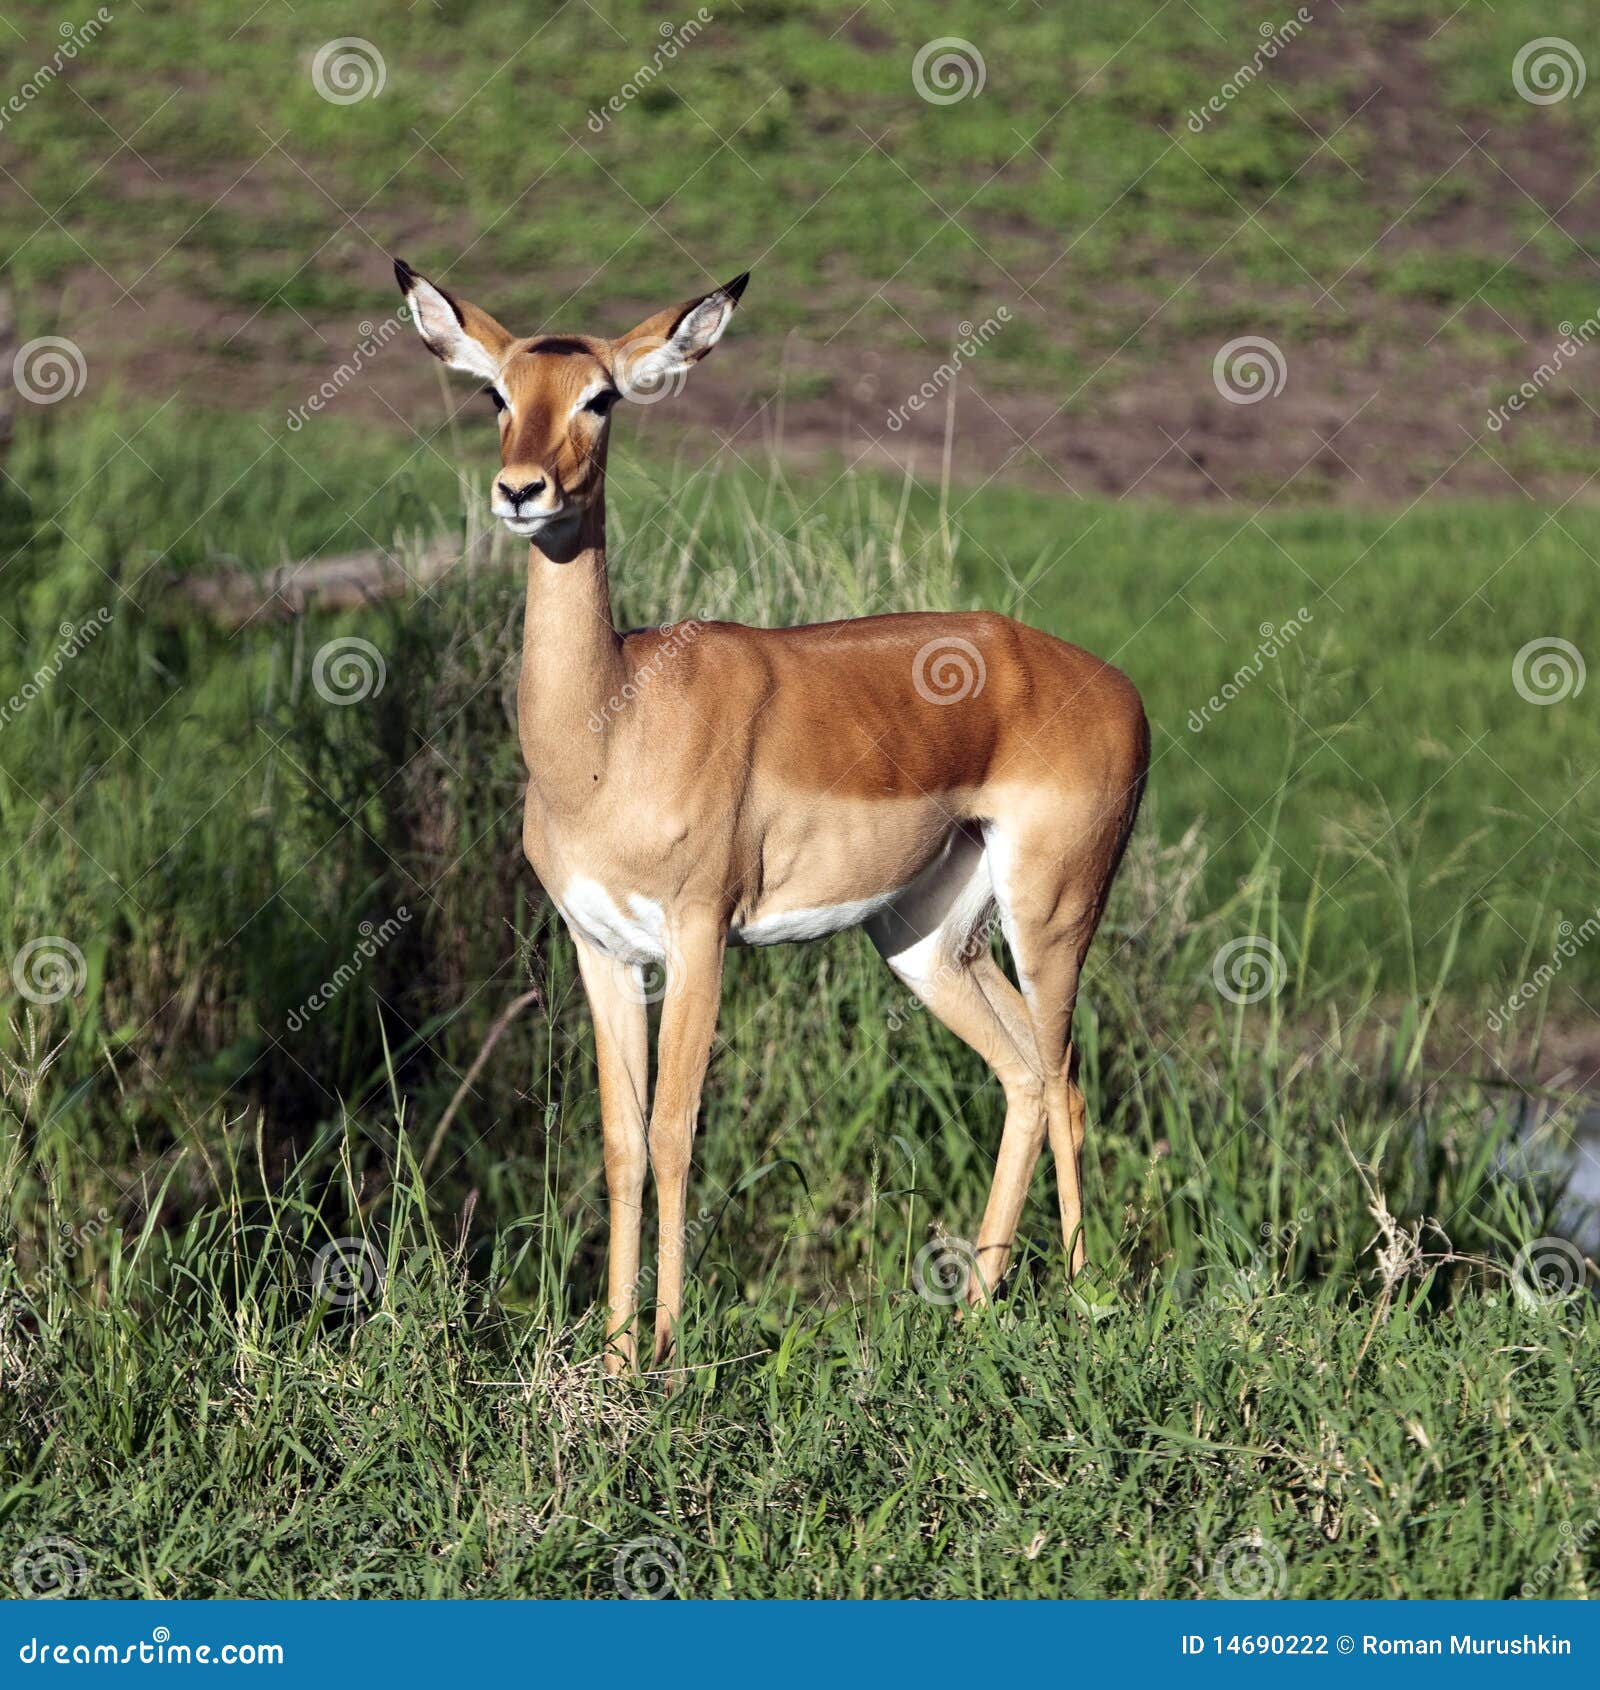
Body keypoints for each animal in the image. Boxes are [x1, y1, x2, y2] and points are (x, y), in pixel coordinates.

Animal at [394, 258, 1149, 1373]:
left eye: (600, 398)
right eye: (497, 392)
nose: (522, 490)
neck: (611, 726)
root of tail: (1122, 692)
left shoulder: (701, 932)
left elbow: (674, 1132)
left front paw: (664, 1357)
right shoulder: (599, 946)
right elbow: (619, 1142)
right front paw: (614, 1357)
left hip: (1052, 913)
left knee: (1058, 1075)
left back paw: (1084, 1300)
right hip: (928, 942)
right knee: (1028, 1078)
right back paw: (974, 1313)